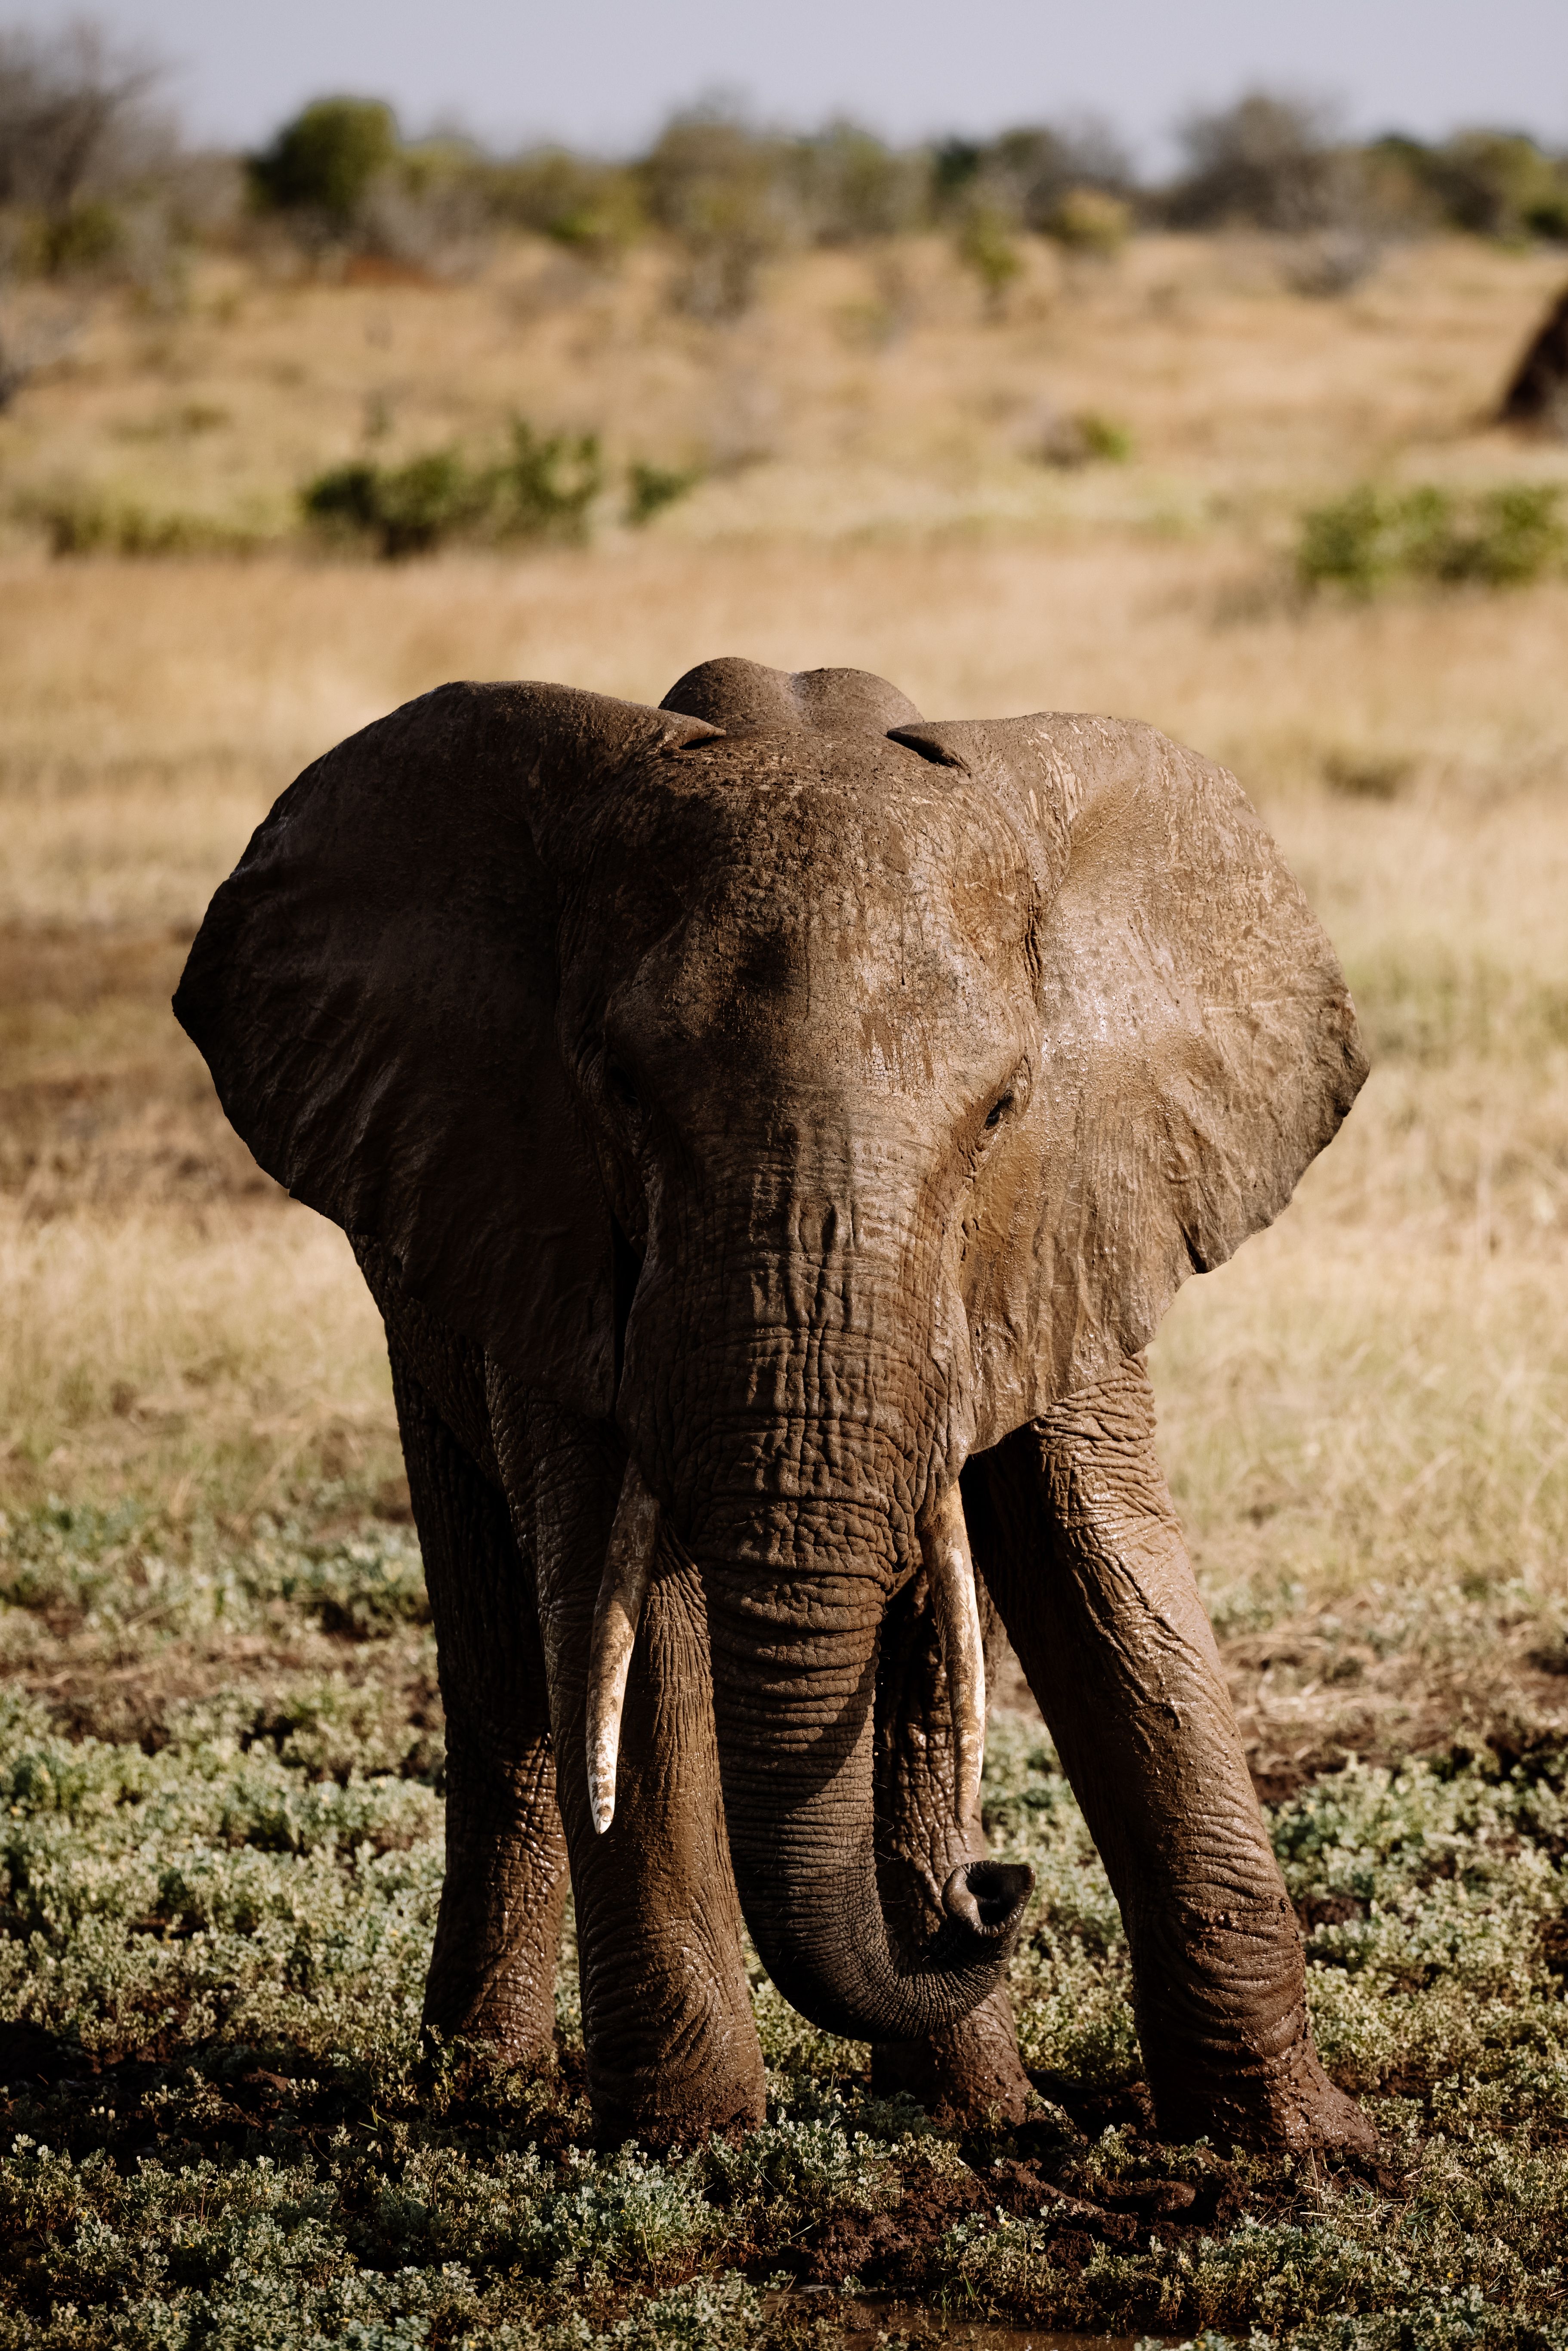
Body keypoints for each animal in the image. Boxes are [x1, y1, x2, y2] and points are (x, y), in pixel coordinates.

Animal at [174, 655, 1375, 2158]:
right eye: (614, 1090)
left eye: (1000, 1108)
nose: (993, 1889)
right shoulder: (547, 1224)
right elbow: (626, 1624)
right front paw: (692, 2153)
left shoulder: (1078, 1200)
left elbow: (1110, 1585)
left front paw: (1303, 2153)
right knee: (509, 1665)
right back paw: (483, 2083)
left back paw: (977, 2112)